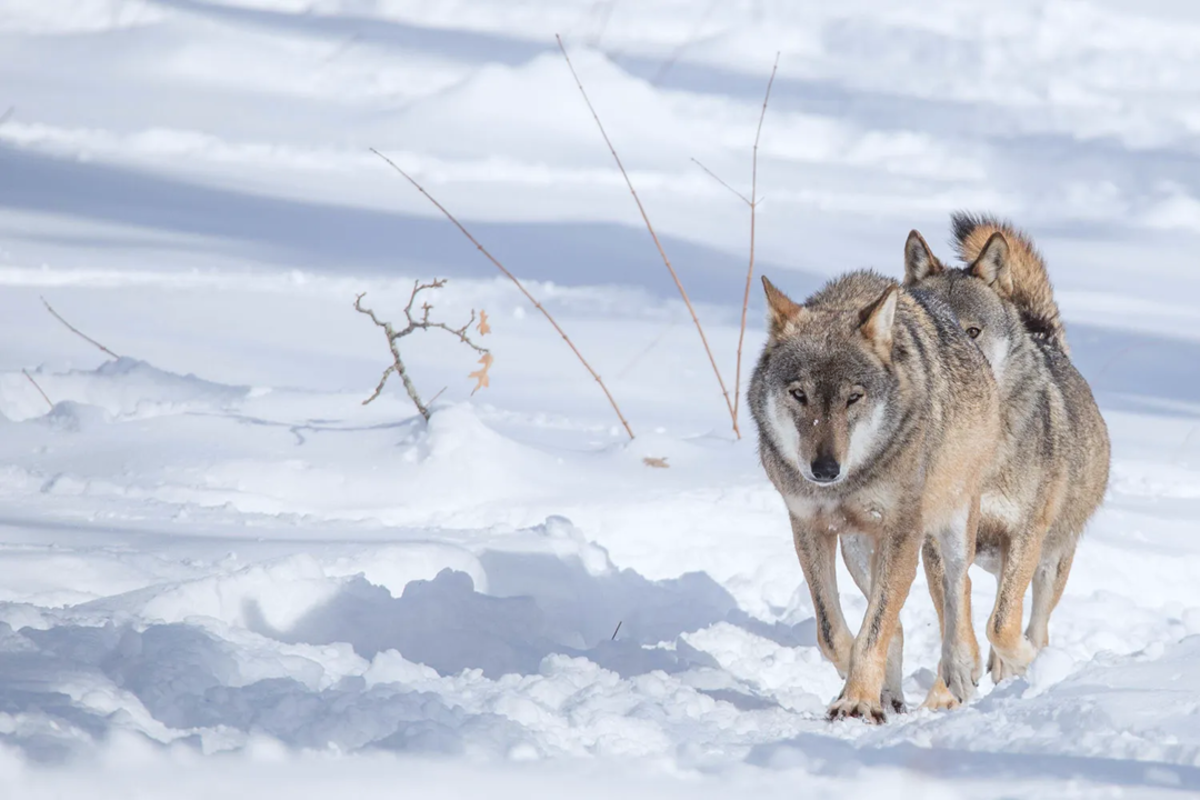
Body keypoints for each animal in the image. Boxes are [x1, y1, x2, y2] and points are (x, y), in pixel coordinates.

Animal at [749, 270, 999, 721]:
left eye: (853, 397)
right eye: (799, 394)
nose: (824, 469)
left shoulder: (902, 532)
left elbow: (875, 629)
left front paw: (857, 699)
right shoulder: (808, 528)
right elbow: (835, 632)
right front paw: (861, 688)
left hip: (950, 524)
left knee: (959, 587)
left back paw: (959, 668)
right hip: (857, 549)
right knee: (895, 622)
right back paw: (891, 694)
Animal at [903, 214, 1110, 690]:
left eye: (972, 332)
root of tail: (1046, 339)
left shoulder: (1024, 534)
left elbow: (1001, 624)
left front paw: (1019, 661)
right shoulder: (936, 538)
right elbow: (955, 613)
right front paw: (958, 674)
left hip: (1051, 559)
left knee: (1035, 621)